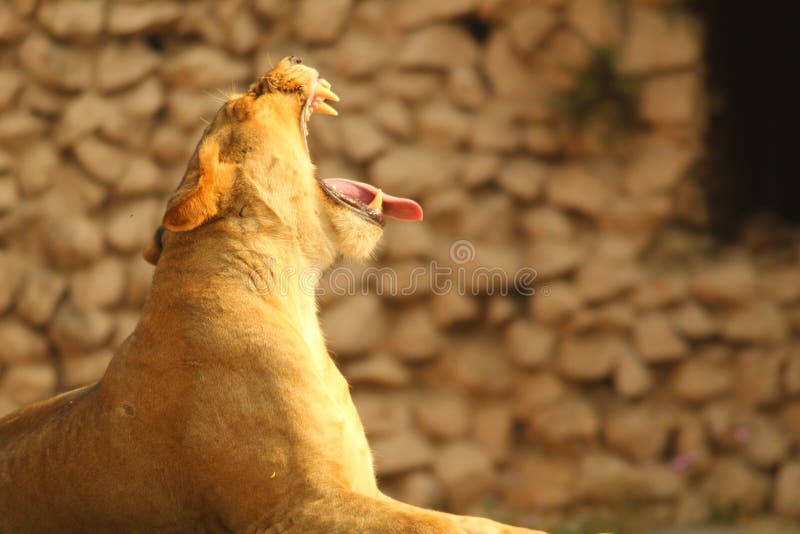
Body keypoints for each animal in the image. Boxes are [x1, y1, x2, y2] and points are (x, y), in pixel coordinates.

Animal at [0, 57, 546, 534]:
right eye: (248, 98)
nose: (294, 57)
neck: (294, 293)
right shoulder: (298, 509)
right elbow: (463, 524)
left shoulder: (357, 490)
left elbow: (461, 520)